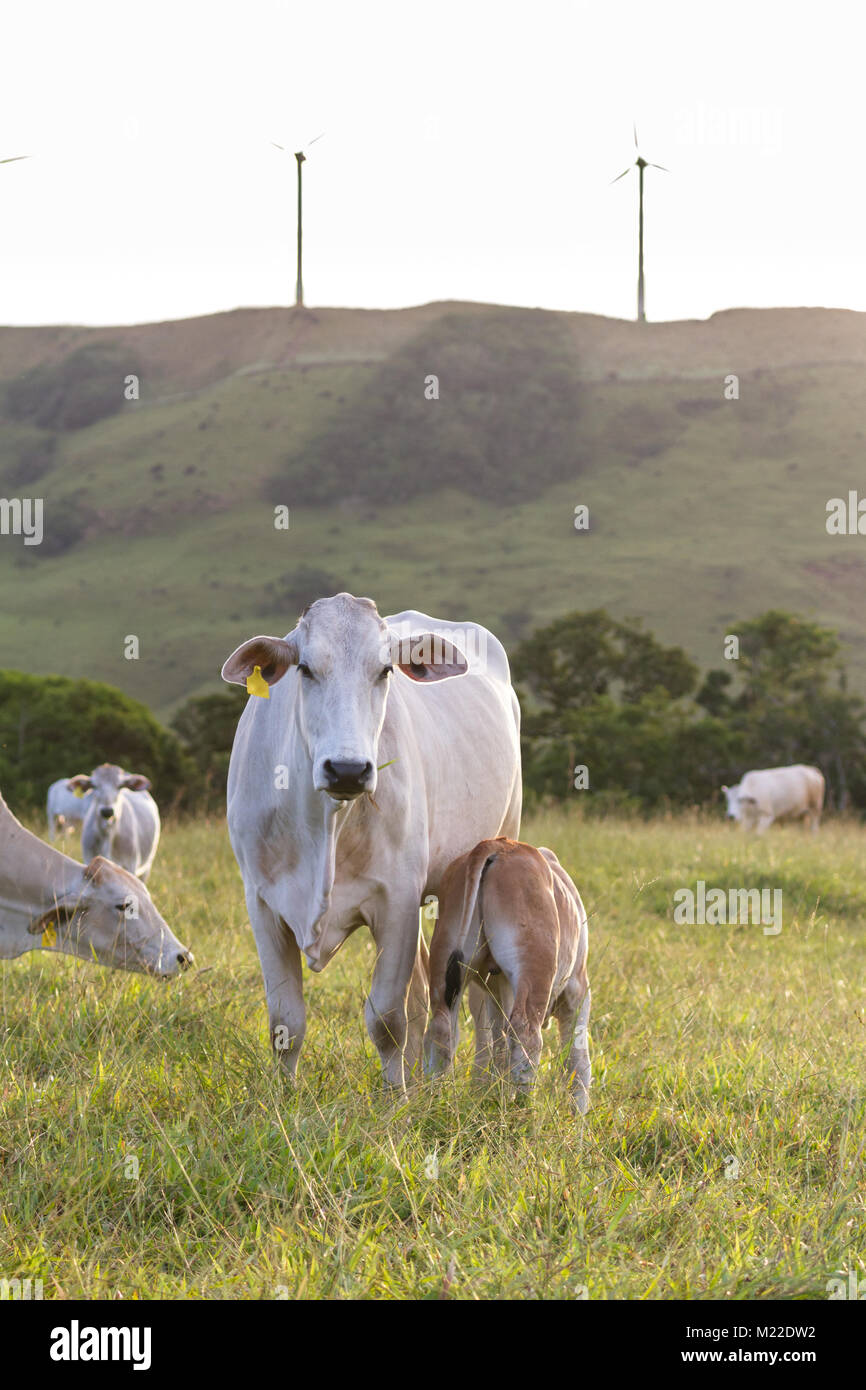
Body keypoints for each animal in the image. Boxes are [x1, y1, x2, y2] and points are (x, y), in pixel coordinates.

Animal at [221, 593, 522, 1090]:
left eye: (384, 671)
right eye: (305, 668)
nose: (347, 769)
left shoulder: (396, 900)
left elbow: (387, 1020)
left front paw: (395, 1097)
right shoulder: (261, 903)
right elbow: (286, 1022)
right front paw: (283, 1095)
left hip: (501, 844)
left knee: (482, 998)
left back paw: (483, 1078)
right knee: (427, 997)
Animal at [424, 838, 592, 1112]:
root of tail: (498, 846)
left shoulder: (496, 989)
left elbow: (500, 1043)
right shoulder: (578, 991)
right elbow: (578, 1060)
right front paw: (578, 1112)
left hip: (446, 966)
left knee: (442, 1030)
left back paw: (434, 1100)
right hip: (534, 971)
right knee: (526, 1034)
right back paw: (524, 1109)